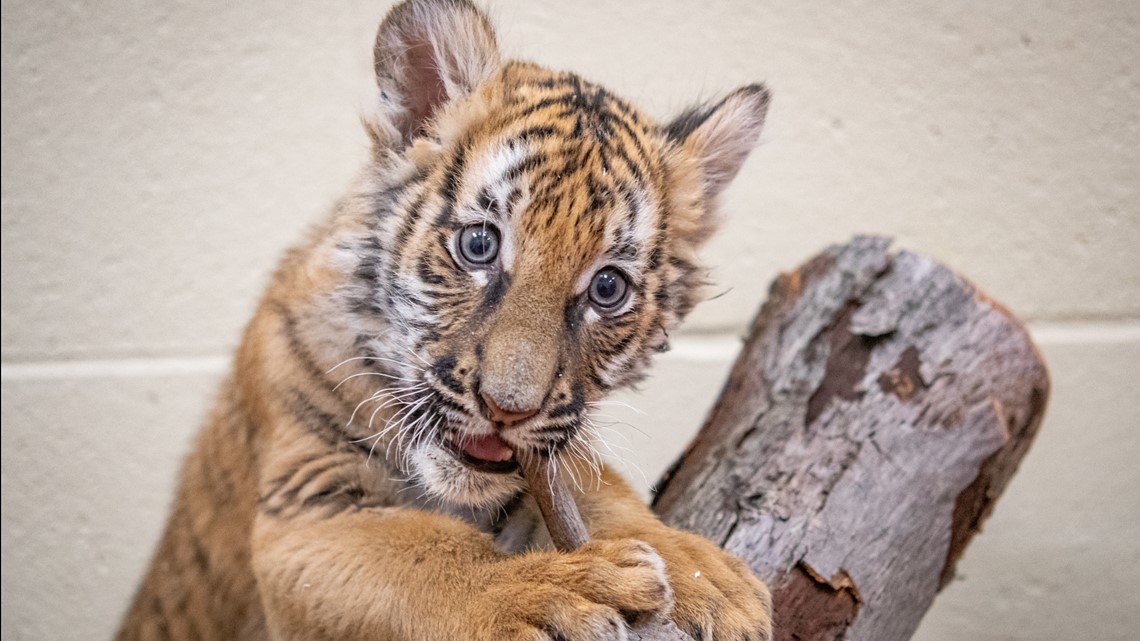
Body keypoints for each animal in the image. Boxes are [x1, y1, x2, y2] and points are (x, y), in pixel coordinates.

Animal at [114, 1, 773, 640]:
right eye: (479, 245)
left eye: (607, 288)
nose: (507, 410)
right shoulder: (303, 505)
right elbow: (427, 554)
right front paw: (553, 590)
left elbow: (596, 486)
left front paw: (703, 572)